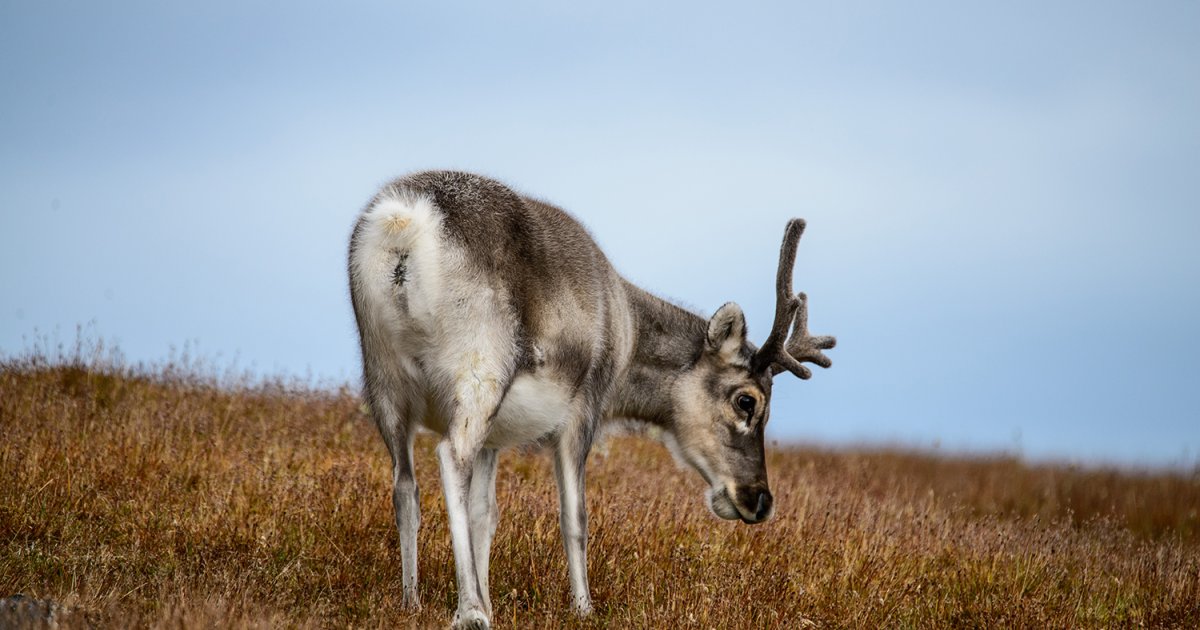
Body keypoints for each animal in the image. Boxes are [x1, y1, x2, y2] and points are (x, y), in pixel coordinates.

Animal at [347, 170, 835, 629]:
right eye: (747, 401)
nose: (759, 500)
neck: (628, 331)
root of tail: (404, 222)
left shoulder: (496, 439)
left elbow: (485, 513)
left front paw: (489, 597)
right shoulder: (583, 411)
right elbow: (575, 517)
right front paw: (582, 607)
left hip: (383, 380)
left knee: (405, 487)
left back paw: (412, 602)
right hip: (479, 375)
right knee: (450, 456)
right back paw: (468, 612)